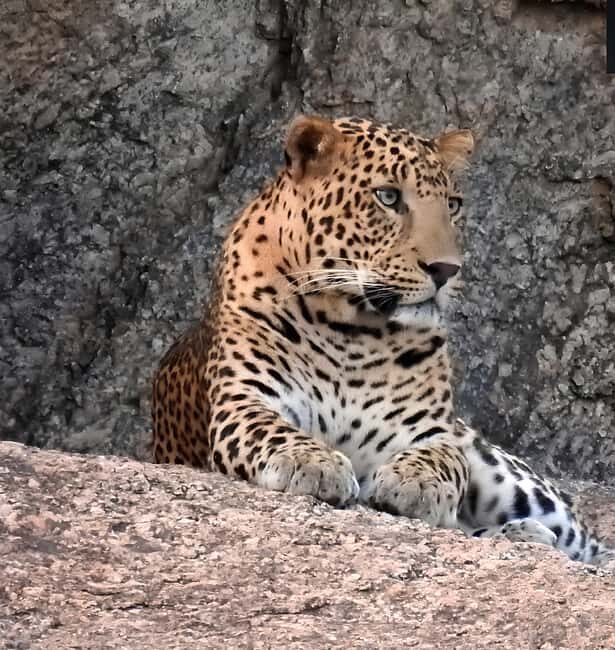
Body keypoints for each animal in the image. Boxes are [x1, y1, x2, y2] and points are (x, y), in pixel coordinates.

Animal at [152, 115, 614, 565]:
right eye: (388, 197)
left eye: (452, 205)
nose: (446, 270)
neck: (350, 329)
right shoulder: (244, 400)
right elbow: (272, 429)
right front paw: (312, 461)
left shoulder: (429, 428)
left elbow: (442, 457)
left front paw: (414, 481)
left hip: (514, 480)